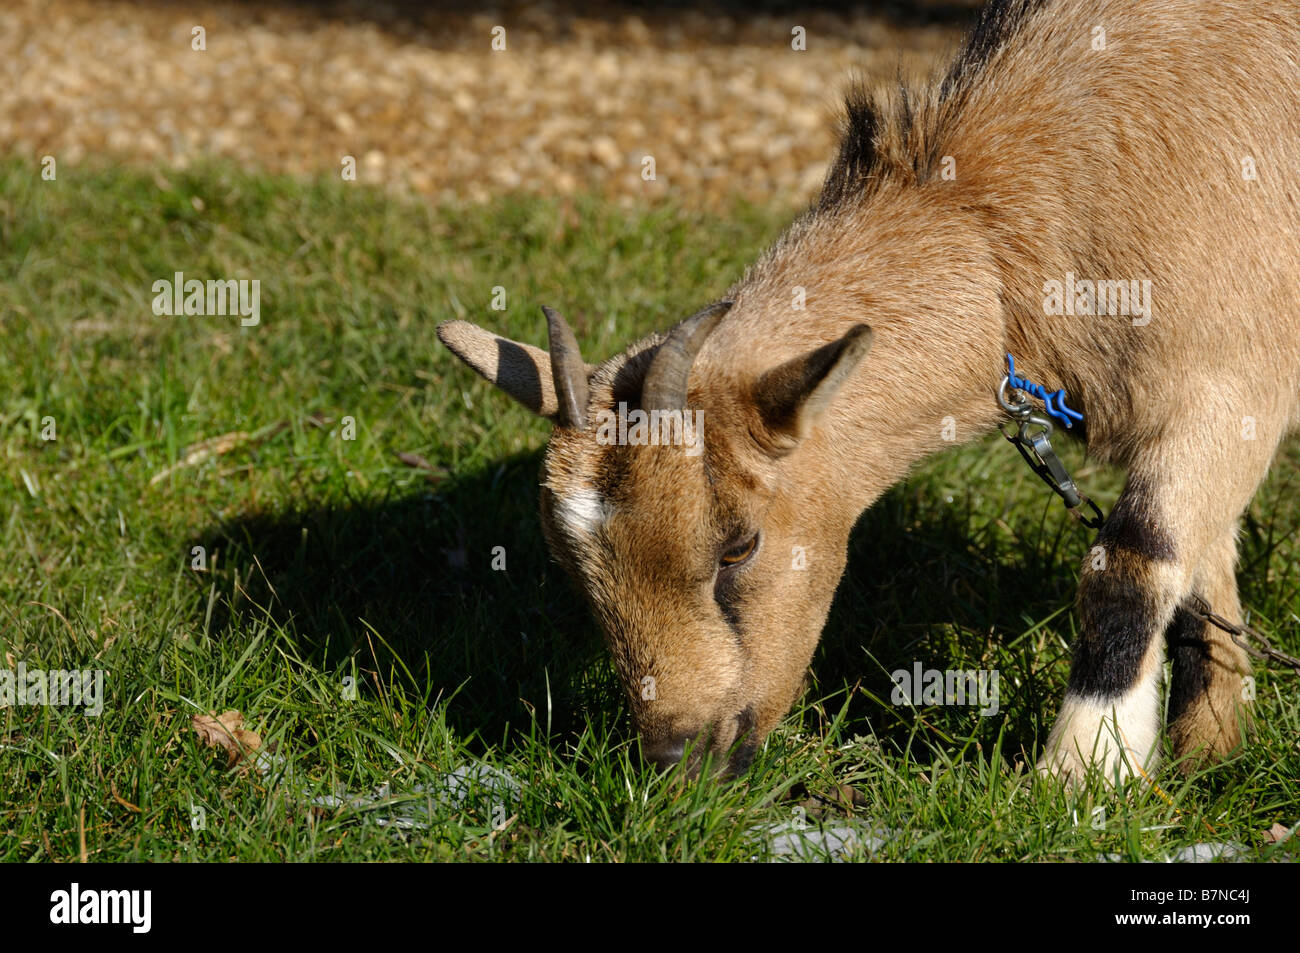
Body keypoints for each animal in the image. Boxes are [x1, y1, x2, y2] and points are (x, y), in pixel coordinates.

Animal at [438, 0, 1300, 784]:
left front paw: (1082, 777)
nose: (679, 762)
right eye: (573, 565)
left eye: (738, 545)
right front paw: (1210, 750)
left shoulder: (1229, 388)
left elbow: (1134, 558)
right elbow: (1200, 574)